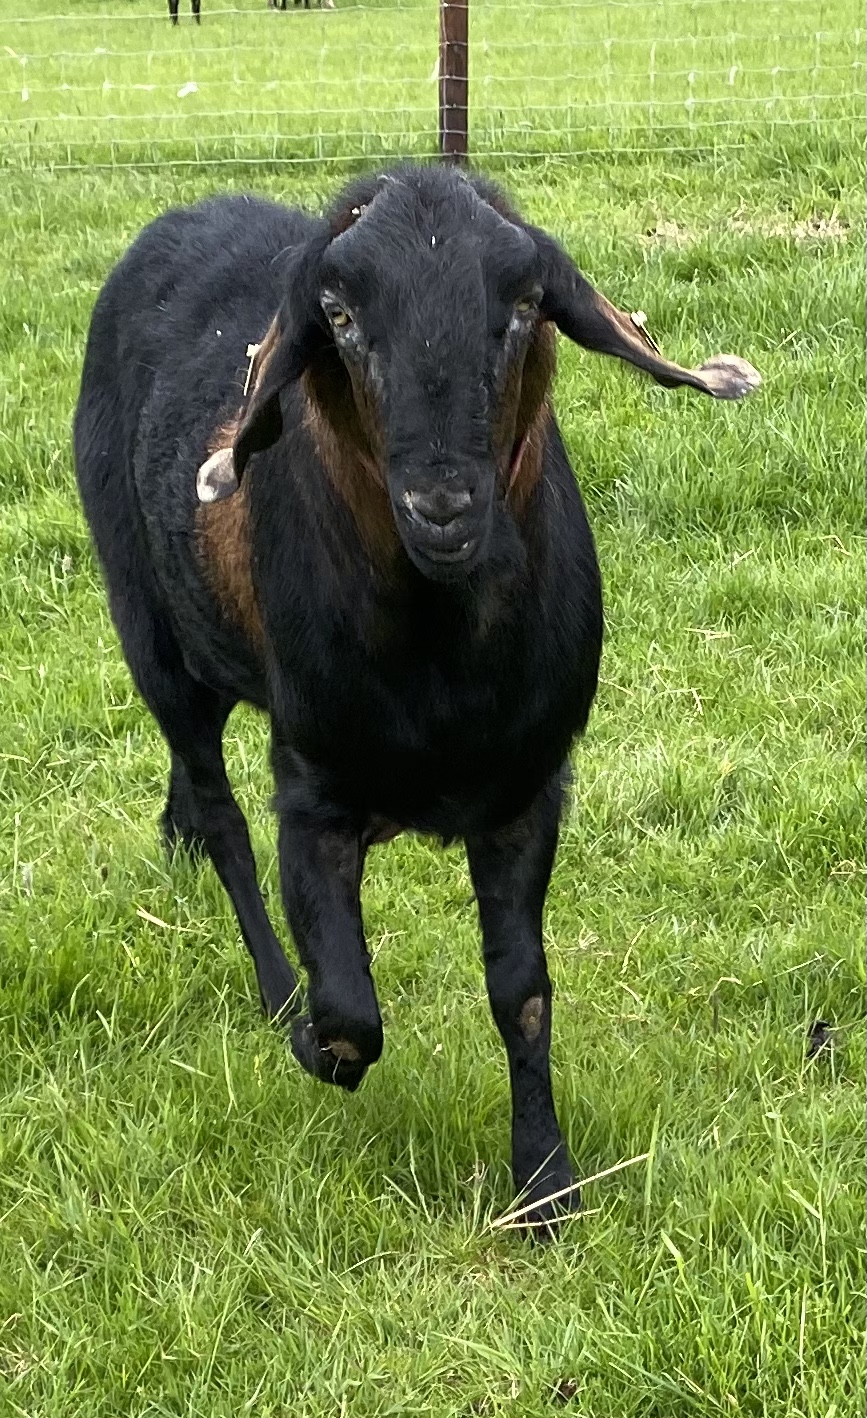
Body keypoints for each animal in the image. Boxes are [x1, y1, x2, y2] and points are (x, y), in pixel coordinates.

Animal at [74, 166, 759, 1230]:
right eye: (339, 315)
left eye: (522, 304)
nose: (442, 507)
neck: (440, 659)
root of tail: (186, 213)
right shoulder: (311, 795)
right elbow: (351, 1012)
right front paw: (311, 1041)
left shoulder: (528, 792)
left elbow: (522, 993)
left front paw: (544, 1185)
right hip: (150, 635)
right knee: (222, 818)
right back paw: (274, 989)